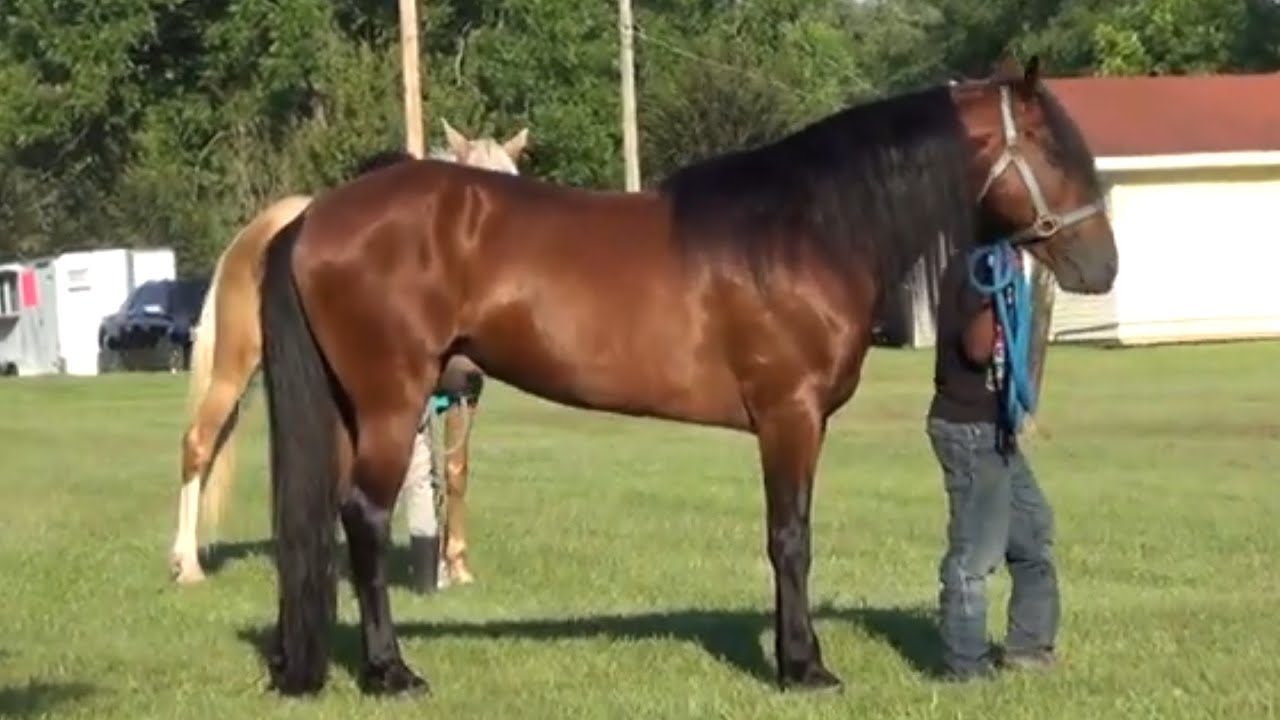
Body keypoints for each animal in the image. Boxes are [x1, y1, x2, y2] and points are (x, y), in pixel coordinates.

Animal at [170, 120, 530, 588]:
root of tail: (249, 236)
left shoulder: (463, 391)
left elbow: (455, 471)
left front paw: (456, 566)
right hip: (236, 366)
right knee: (199, 443)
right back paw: (188, 563)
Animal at [255, 55, 1117, 697]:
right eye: (1054, 151)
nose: (1102, 267)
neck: (804, 231)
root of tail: (317, 216)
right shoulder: (790, 417)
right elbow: (790, 538)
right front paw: (804, 667)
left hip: (351, 407)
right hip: (392, 402)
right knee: (365, 518)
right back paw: (389, 672)